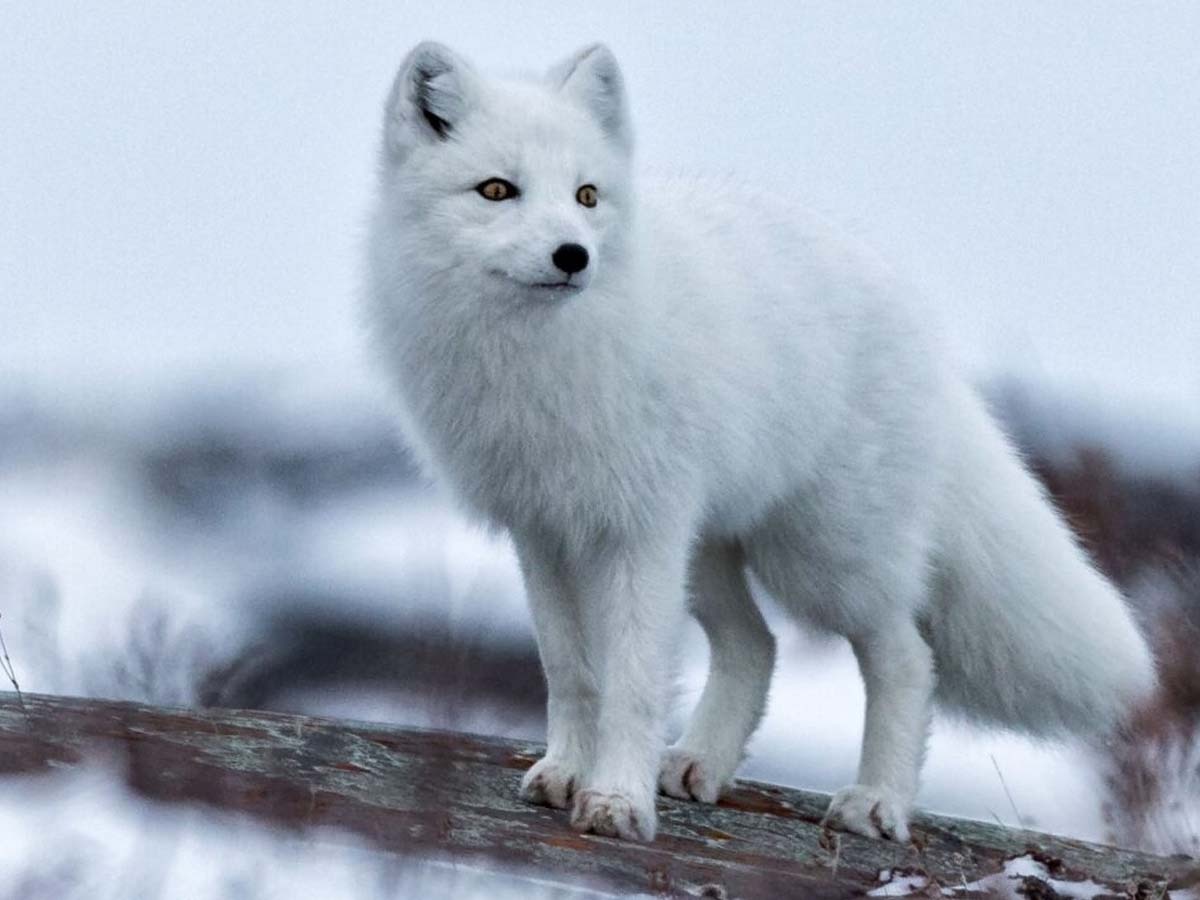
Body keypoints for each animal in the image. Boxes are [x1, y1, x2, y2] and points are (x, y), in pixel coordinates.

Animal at [364, 41, 1156, 843]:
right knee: (757, 645)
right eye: (497, 190)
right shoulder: (543, 530)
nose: (573, 256)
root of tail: (917, 319)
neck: (539, 360)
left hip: (822, 556)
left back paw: (877, 801)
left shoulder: (641, 528)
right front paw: (565, 773)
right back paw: (699, 765)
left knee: (906, 656)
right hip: (715, 547)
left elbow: (633, 682)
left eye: (586, 195)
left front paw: (616, 802)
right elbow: (570, 671)